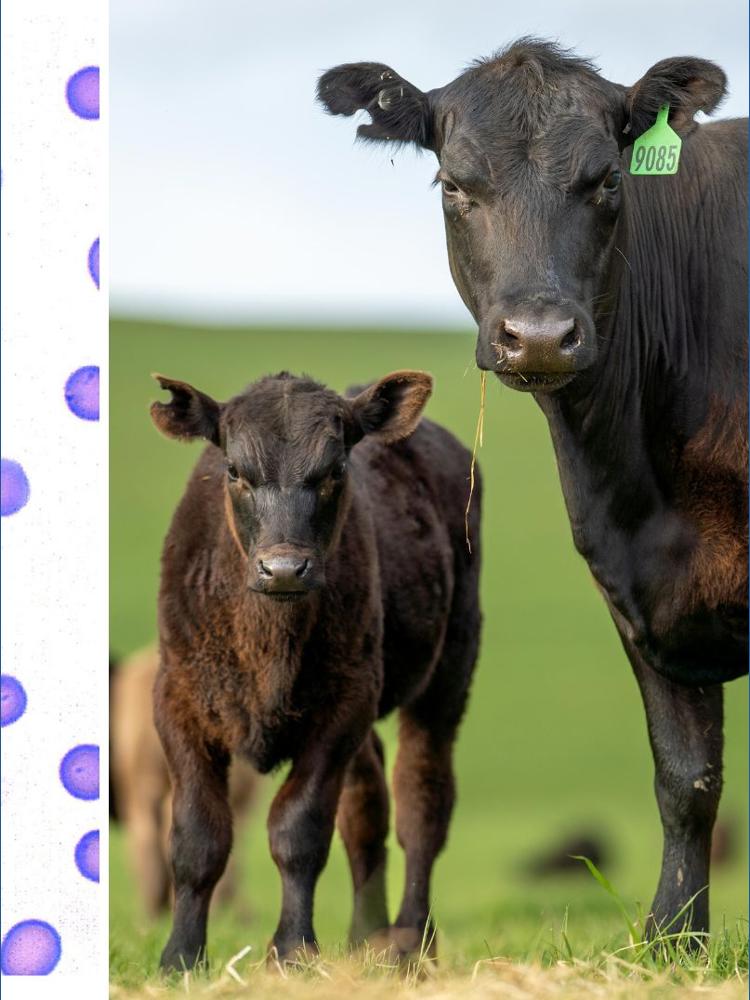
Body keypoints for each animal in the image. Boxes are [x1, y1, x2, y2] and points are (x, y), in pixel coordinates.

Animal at [149, 369, 482, 970]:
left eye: (335, 471)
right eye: (235, 471)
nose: (284, 568)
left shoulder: (341, 710)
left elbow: (298, 830)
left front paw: (292, 950)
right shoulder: (177, 701)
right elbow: (196, 837)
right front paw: (181, 957)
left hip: (448, 669)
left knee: (421, 801)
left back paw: (410, 943)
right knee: (367, 805)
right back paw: (367, 937)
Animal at [317, 38, 748, 939]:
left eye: (608, 180)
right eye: (453, 183)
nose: (541, 336)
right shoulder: (635, 584)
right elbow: (686, 776)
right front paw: (673, 938)